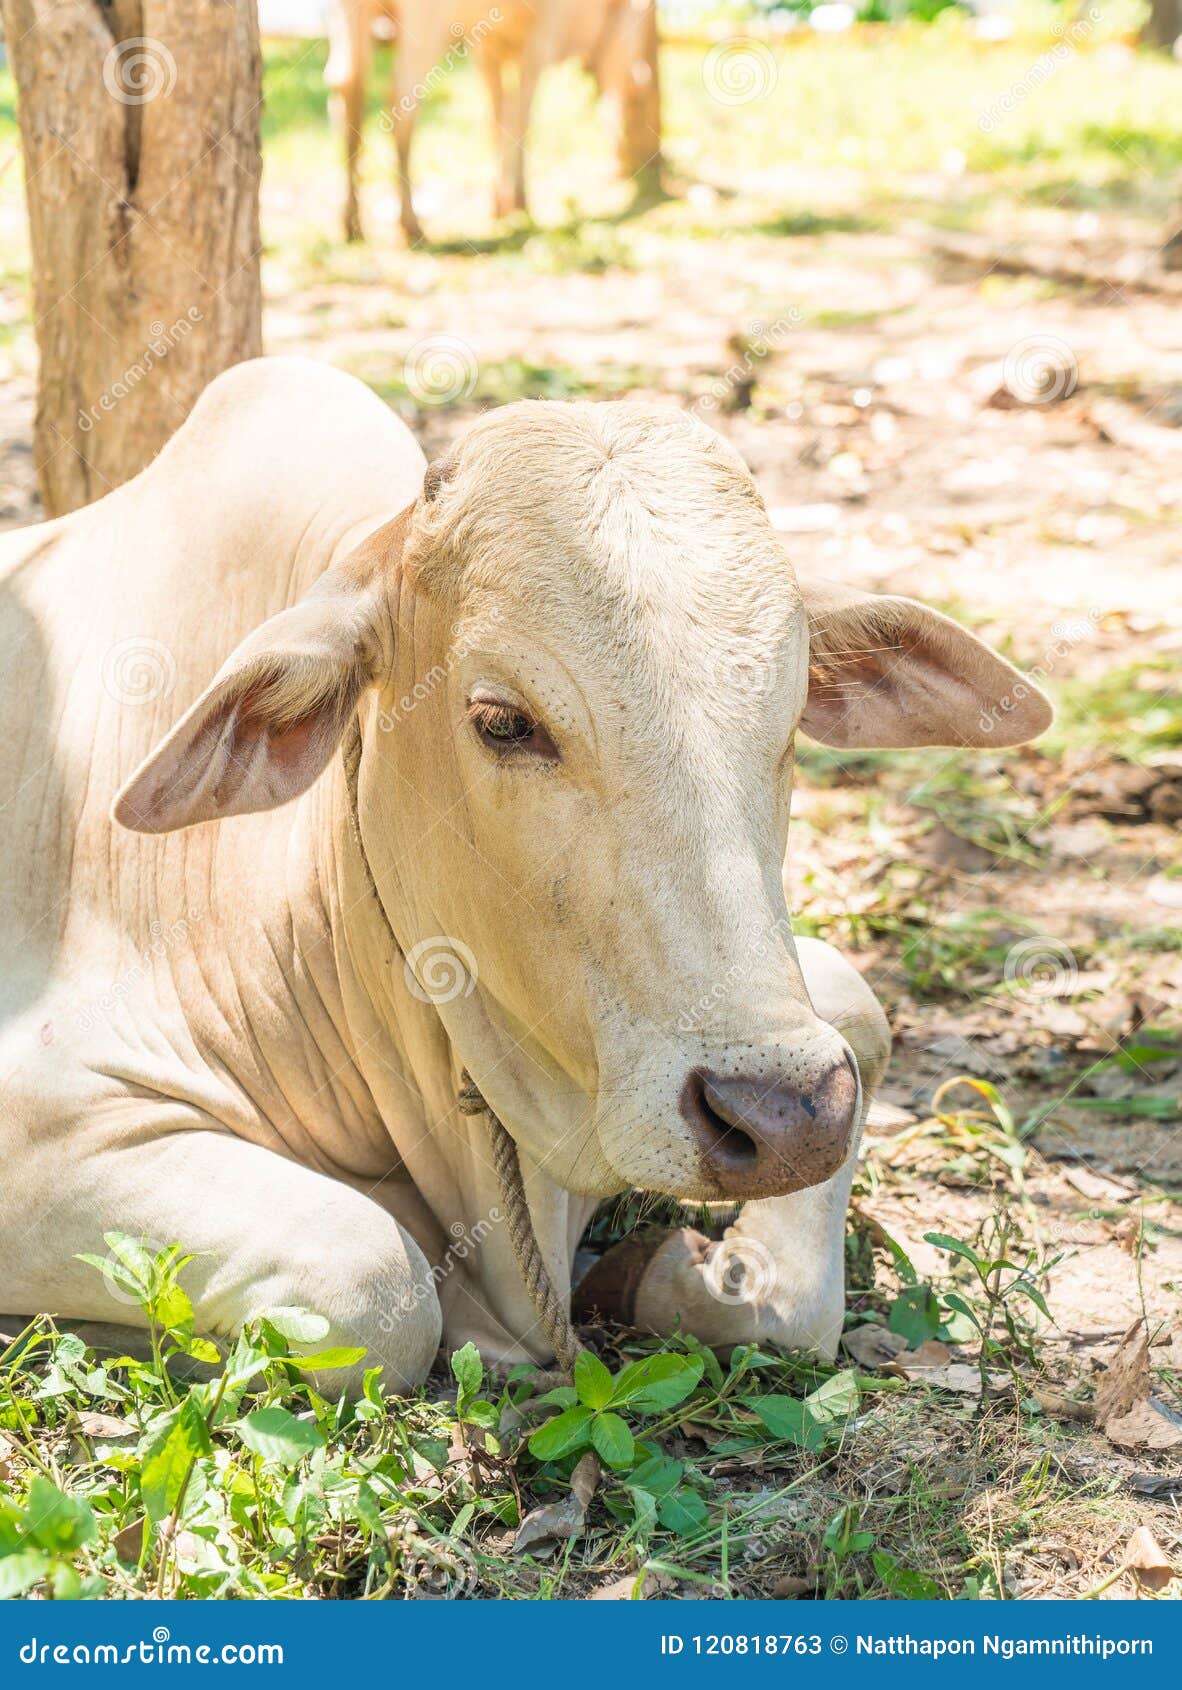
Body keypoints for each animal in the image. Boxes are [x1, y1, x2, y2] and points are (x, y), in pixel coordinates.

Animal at [326, 0, 663, 245]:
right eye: (637, 100)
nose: (628, 166)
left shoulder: (486, 43)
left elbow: (497, 116)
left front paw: (499, 203)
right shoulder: (544, 34)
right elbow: (521, 115)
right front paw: (520, 201)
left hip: (350, 16)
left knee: (345, 87)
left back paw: (350, 222)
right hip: (424, 23)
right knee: (399, 97)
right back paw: (410, 223)